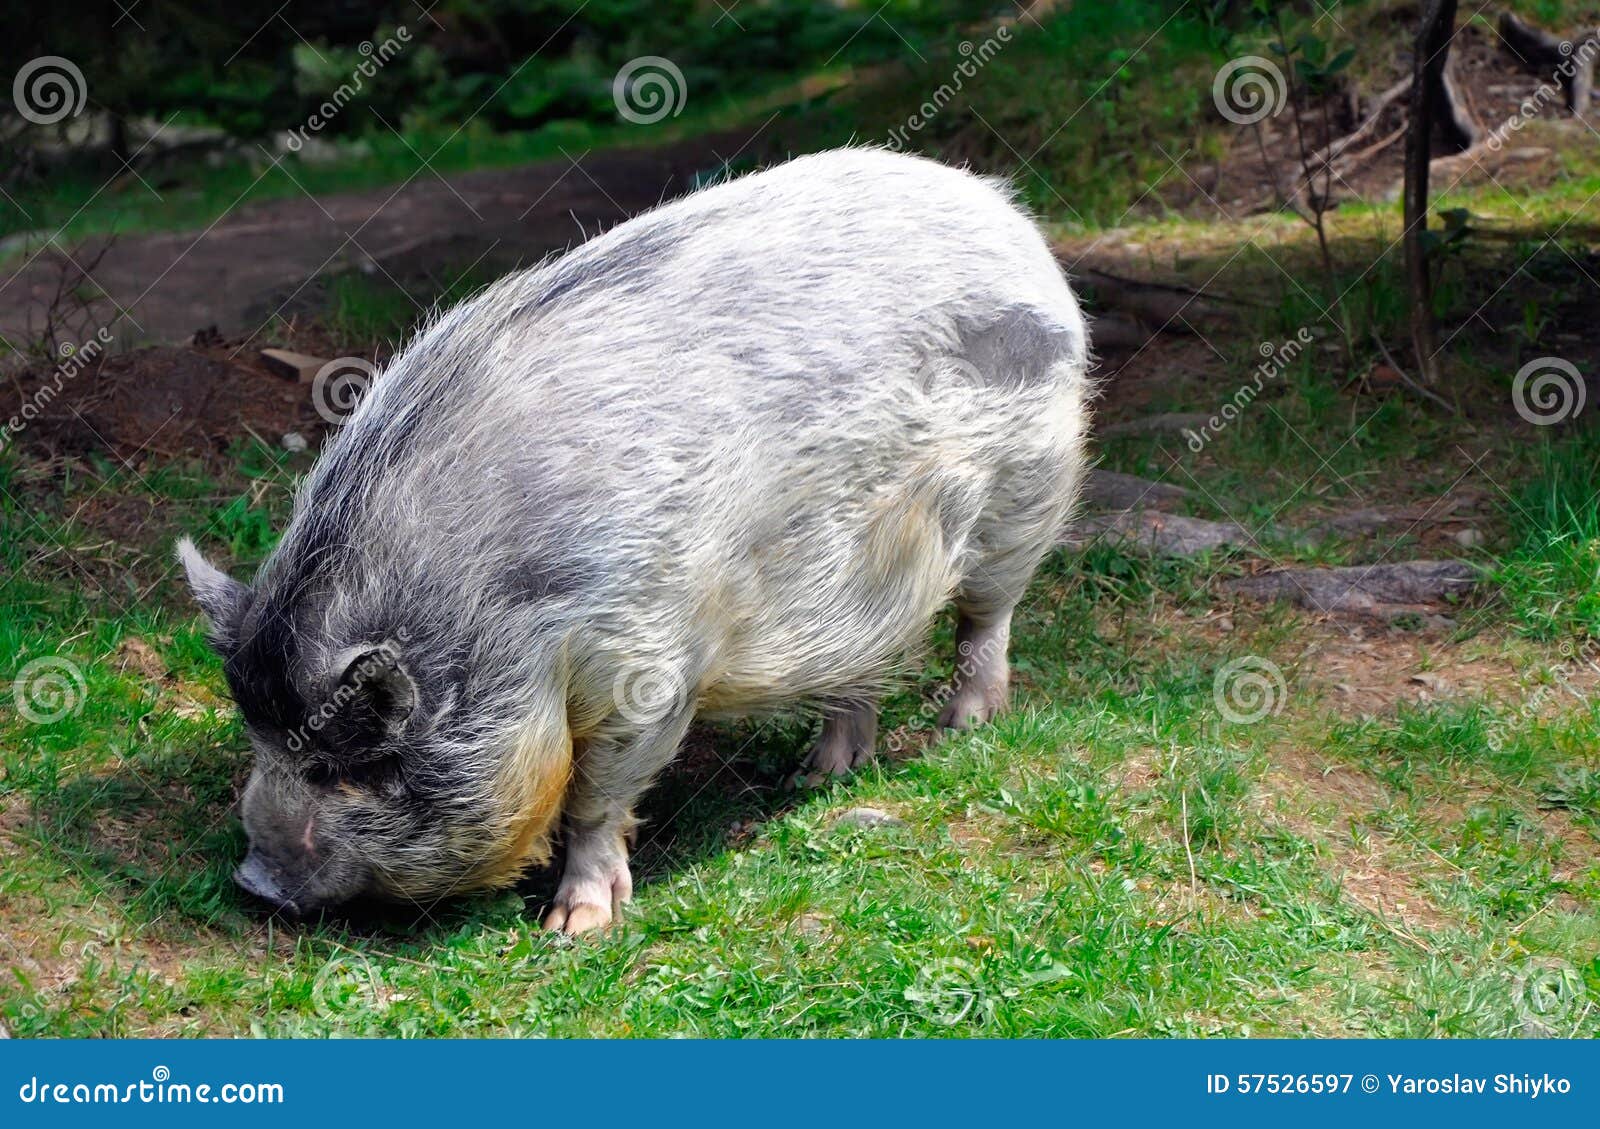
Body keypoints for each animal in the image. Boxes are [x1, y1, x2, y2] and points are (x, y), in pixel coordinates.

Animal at [179, 147, 1091, 934]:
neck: (508, 609)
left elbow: (595, 794)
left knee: (987, 614)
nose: (253, 883)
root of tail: (1004, 212)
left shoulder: (648, 661)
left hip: (1031, 484)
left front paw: (574, 927)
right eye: (260, 738)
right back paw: (821, 773)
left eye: (349, 765)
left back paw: (964, 727)